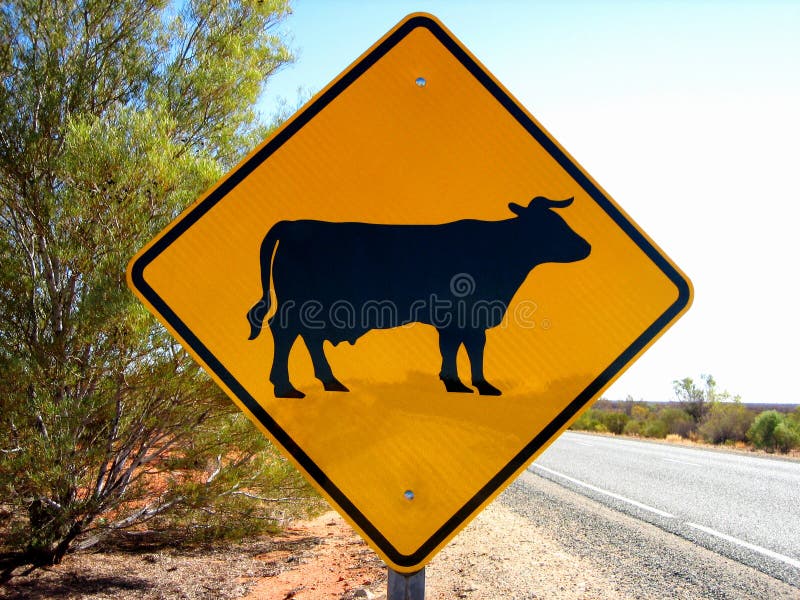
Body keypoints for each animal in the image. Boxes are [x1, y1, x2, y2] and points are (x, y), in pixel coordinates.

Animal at [246, 196, 591, 398]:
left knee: (308, 337)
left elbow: (454, 348)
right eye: (553, 225)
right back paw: (285, 388)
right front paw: (476, 386)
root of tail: (292, 224)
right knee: (285, 332)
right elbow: (470, 347)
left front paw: (456, 383)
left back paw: (330, 382)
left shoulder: (457, 319)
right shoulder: (468, 315)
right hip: (299, 303)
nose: (586, 246)